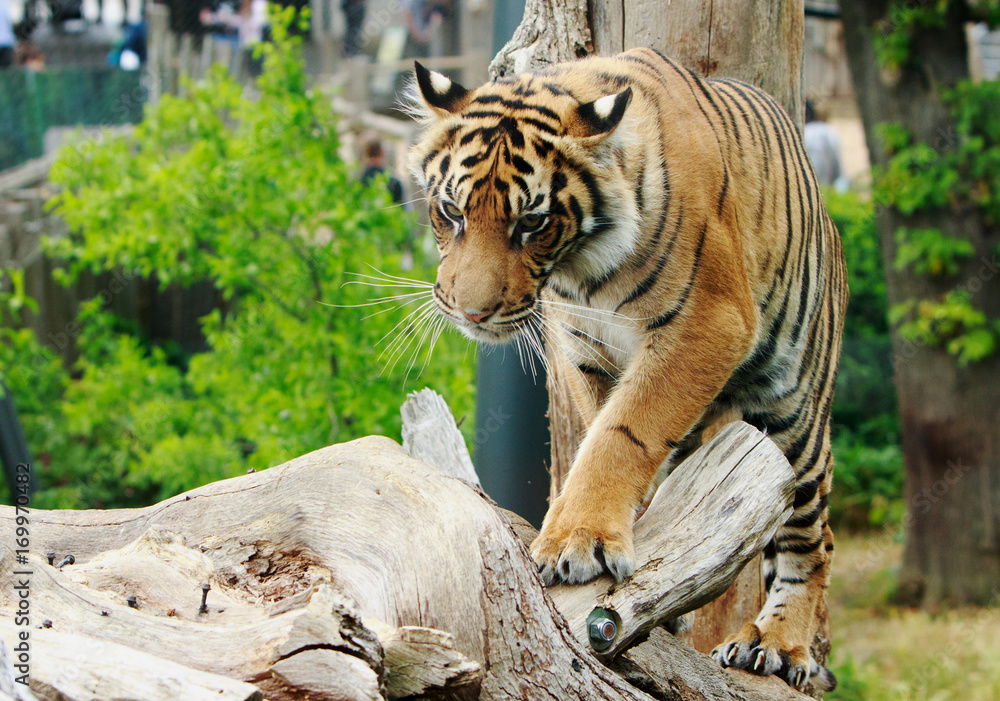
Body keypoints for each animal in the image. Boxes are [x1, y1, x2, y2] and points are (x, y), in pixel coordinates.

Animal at [406, 47, 846, 692]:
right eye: (451, 211)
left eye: (532, 223)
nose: (471, 311)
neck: (581, 270)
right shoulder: (584, 350)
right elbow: (601, 431)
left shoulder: (707, 323)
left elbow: (623, 434)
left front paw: (579, 539)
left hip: (792, 410)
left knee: (813, 536)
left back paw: (776, 643)